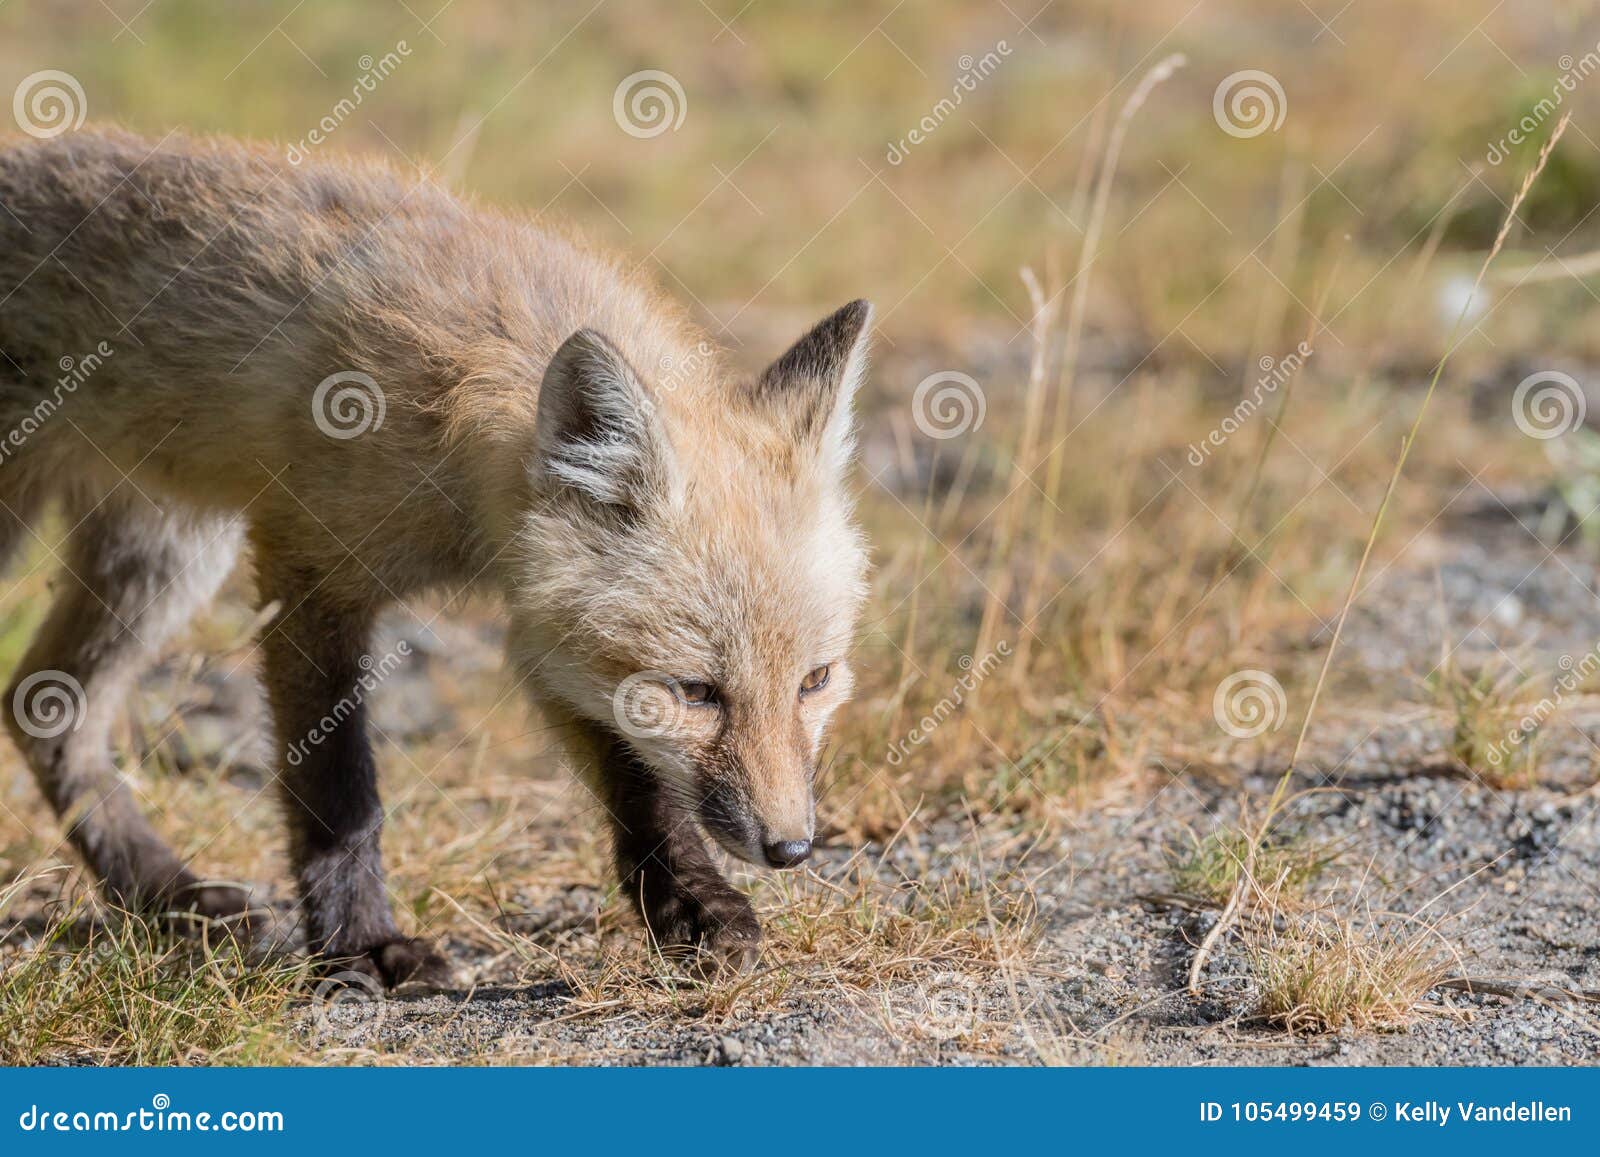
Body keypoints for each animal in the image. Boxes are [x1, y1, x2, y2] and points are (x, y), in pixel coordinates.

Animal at [0, 128, 872, 986]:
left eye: (815, 681)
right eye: (695, 691)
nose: (791, 848)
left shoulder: (548, 623)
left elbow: (639, 786)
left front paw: (689, 904)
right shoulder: (308, 565)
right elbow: (338, 790)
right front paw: (360, 943)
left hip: (166, 553)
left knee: (46, 708)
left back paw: (169, 898)